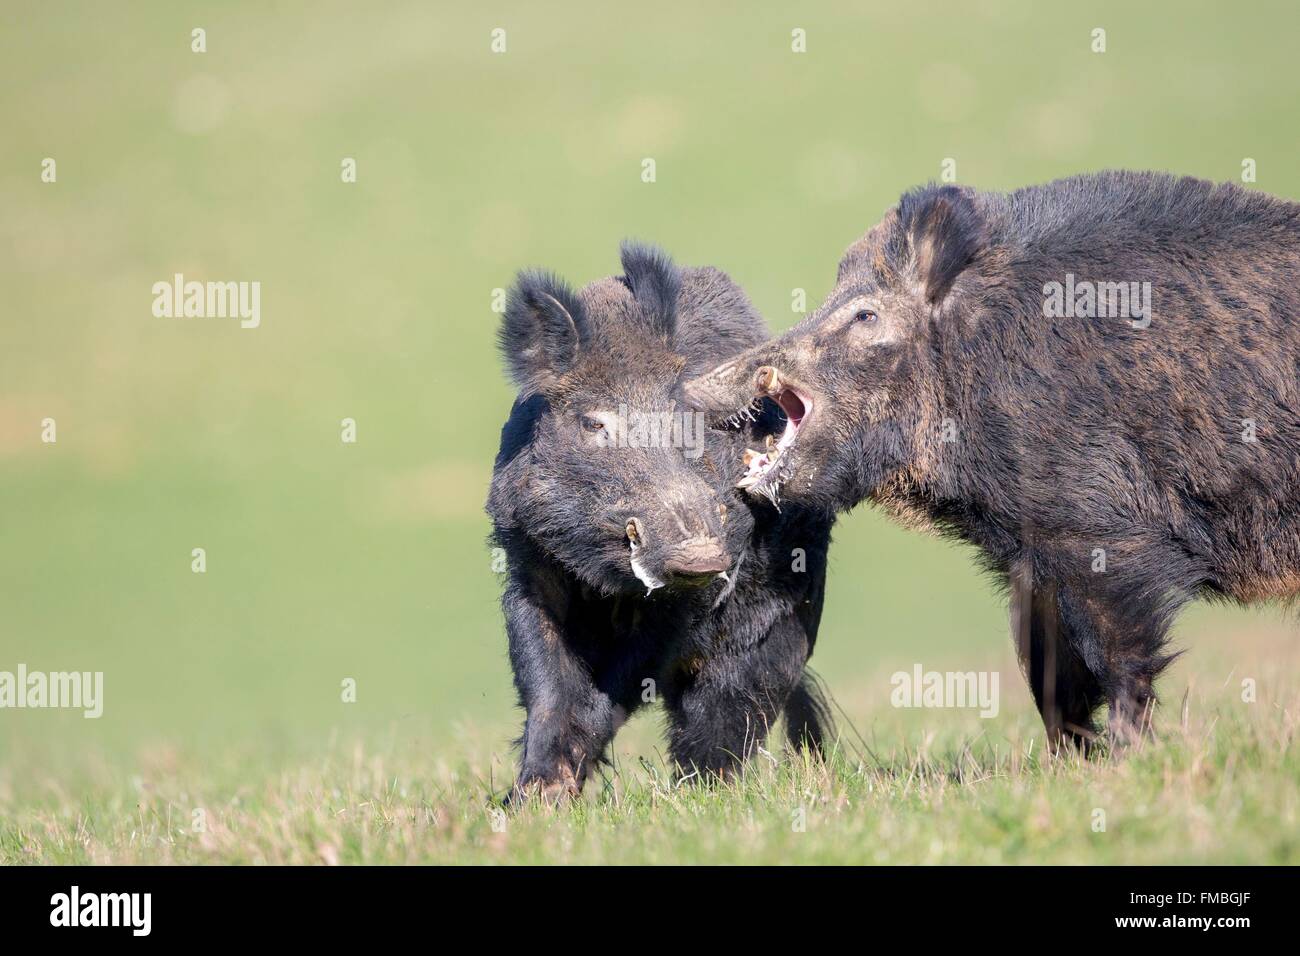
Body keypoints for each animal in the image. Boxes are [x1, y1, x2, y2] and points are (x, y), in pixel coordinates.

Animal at [487, 242, 833, 802]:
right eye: (593, 422)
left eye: (684, 417)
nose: (700, 549)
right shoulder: (526, 557)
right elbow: (545, 680)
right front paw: (532, 798)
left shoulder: (695, 596)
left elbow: (621, 682)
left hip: (781, 630)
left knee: (724, 723)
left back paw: (701, 795)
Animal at [685, 171, 1300, 750]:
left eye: (865, 315)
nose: (694, 386)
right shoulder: (1033, 559)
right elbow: (1050, 673)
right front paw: (1071, 759)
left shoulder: (1104, 532)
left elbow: (1118, 656)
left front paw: (1129, 757)